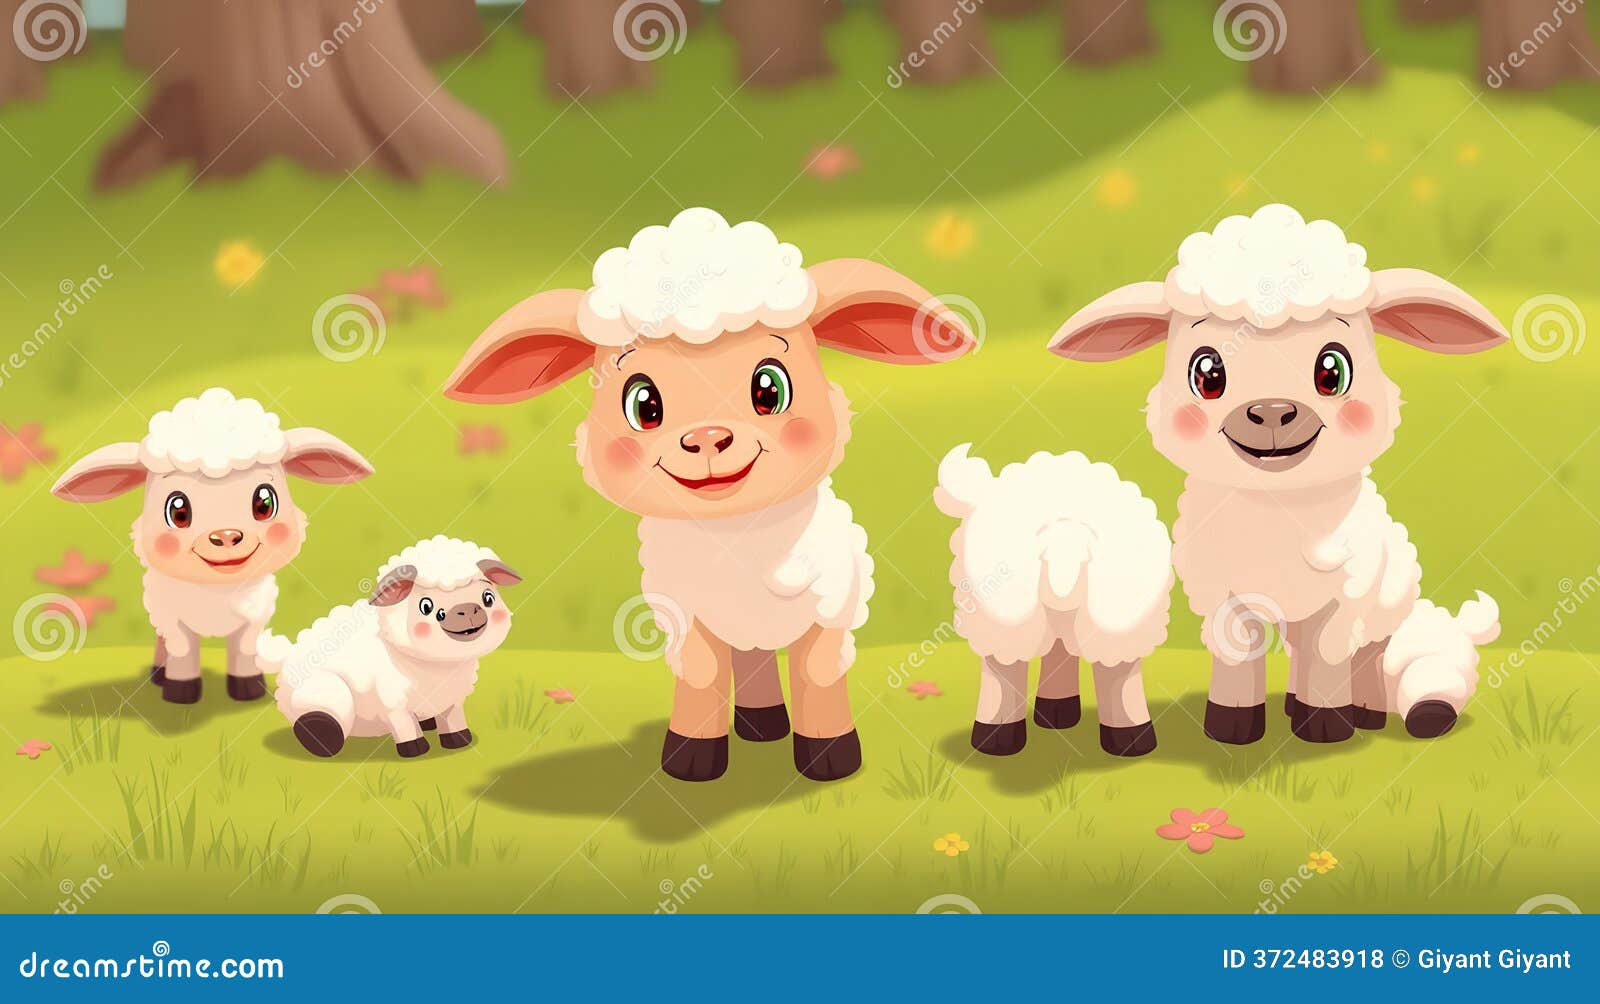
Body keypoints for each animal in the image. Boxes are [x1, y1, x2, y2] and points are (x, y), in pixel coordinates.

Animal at [52, 388, 372, 704]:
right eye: (178, 510)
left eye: (265, 503)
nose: (226, 535)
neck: (217, 592)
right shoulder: (176, 625)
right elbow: (183, 654)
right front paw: (180, 692)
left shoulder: (252, 622)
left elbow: (243, 653)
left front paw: (249, 689)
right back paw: (158, 673)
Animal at [261, 535, 522, 758]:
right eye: (426, 606)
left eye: (488, 597)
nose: (466, 609)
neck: (436, 668)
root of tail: (289, 653)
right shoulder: (393, 703)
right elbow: (405, 725)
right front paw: (414, 749)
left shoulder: (453, 700)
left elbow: (453, 720)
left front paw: (459, 740)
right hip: (326, 690)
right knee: (323, 715)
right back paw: (322, 734)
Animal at [444, 207, 974, 782]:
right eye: (643, 403)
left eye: (770, 389)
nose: (706, 438)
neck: (737, 535)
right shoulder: (687, 621)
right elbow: (701, 677)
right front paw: (691, 760)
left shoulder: (831, 611)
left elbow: (817, 674)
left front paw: (830, 758)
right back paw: (761, 724)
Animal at [935, 445, 1173, 758]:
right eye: (1040, 555)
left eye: (1088, 559)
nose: (1062, 594)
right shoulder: (1002, 624)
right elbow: (1004, 670)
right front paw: (996, 743)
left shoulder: (1120, 628)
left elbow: (1118, 675)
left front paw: (1132, 743)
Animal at [1047, 204, 1507, 743]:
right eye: (1206, 373)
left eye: (1333, 370)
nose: (1271, 411)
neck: (1273, 514)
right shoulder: (1226, 599)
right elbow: (1238, 655)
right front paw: (1231, 727)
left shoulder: (1341, 602)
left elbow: (1329, 657)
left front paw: (1326, 726)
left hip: (1378, 608)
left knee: (1364, 655)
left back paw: (1363, 712)